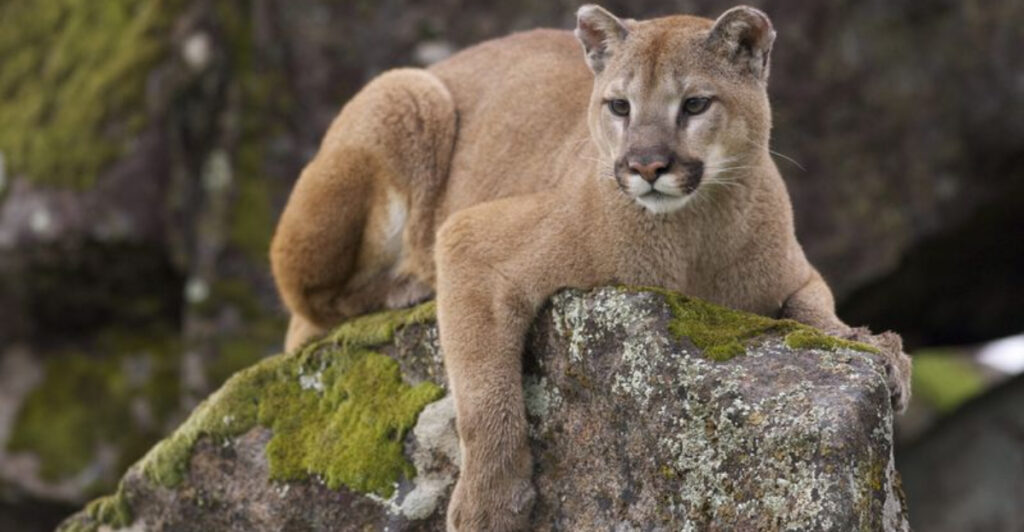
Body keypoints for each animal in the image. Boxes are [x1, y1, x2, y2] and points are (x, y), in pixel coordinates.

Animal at [269, 5, 912, 529]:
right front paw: (490, 503)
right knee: (306, 308)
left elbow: (816, 310)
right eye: (619, 105)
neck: (692, 237)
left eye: (695, 104)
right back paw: (406, 286)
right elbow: (484, 392)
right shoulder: (470, 241)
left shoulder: (797, 273)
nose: (646, 166)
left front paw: (876, 349)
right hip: (406, 92)